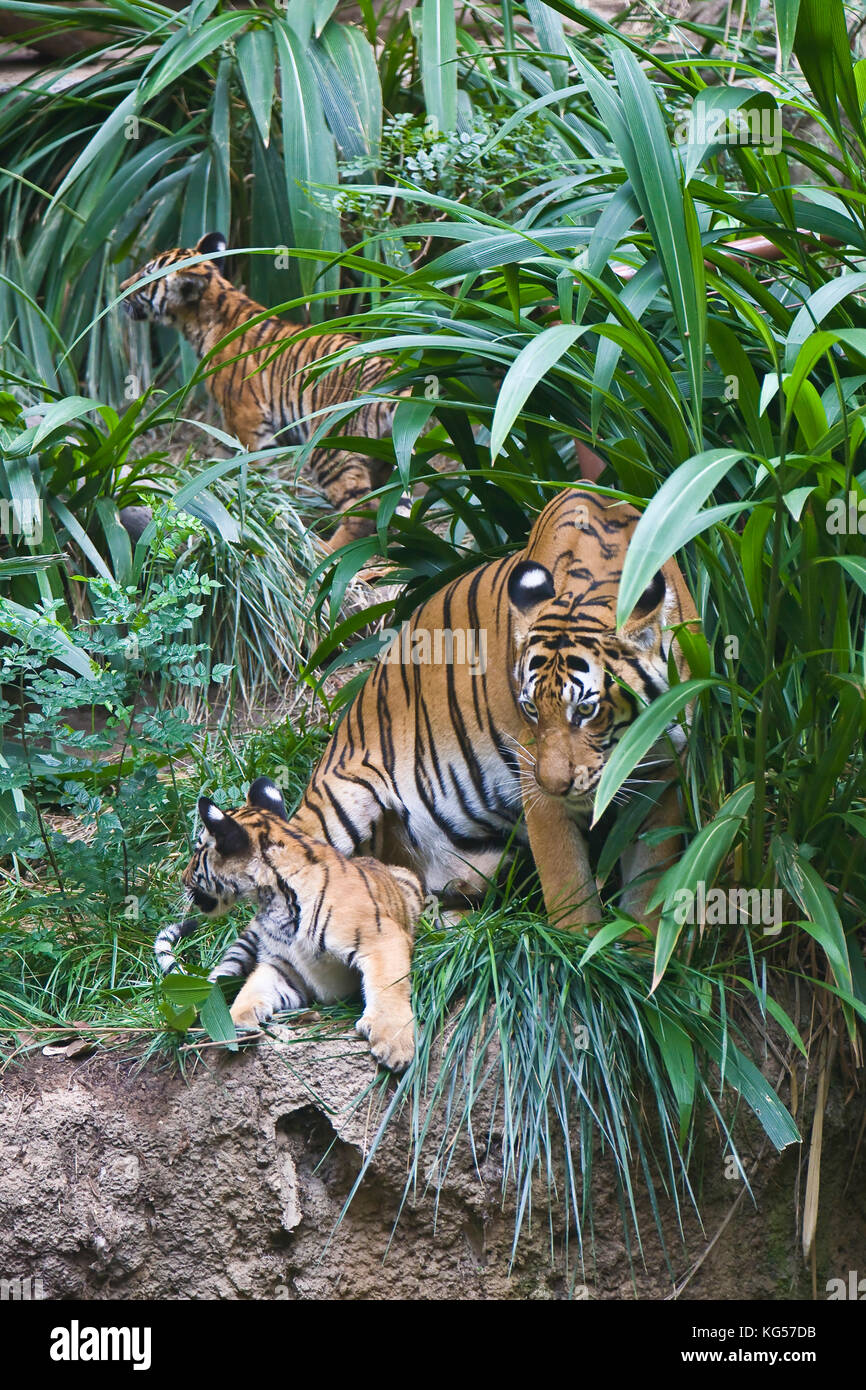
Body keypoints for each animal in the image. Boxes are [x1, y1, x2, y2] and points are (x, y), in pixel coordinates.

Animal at [119, 232, 403, 551]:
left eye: (146, 275)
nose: (120, 288)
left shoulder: (247, 420)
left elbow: (253, 471)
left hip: (331, 447)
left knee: (362, 512)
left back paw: (323, 551)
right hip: (384, 454)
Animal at [155, 776, 425, 1071]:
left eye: (198, 851)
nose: (181, 878)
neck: (275, 898)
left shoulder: (381, 939)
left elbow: (390, 986)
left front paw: (394, 1044)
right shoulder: (283, 966)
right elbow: (252, 988)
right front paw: (233, 1022)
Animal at [288, 488, 699, 930]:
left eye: (586, 711)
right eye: (531, 710)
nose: (556, 786)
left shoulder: (664, 768)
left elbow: (649, 880)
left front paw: (637, 941)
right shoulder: (532, 769)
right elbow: (568, 886)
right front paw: (581, 944)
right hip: (340, 802)